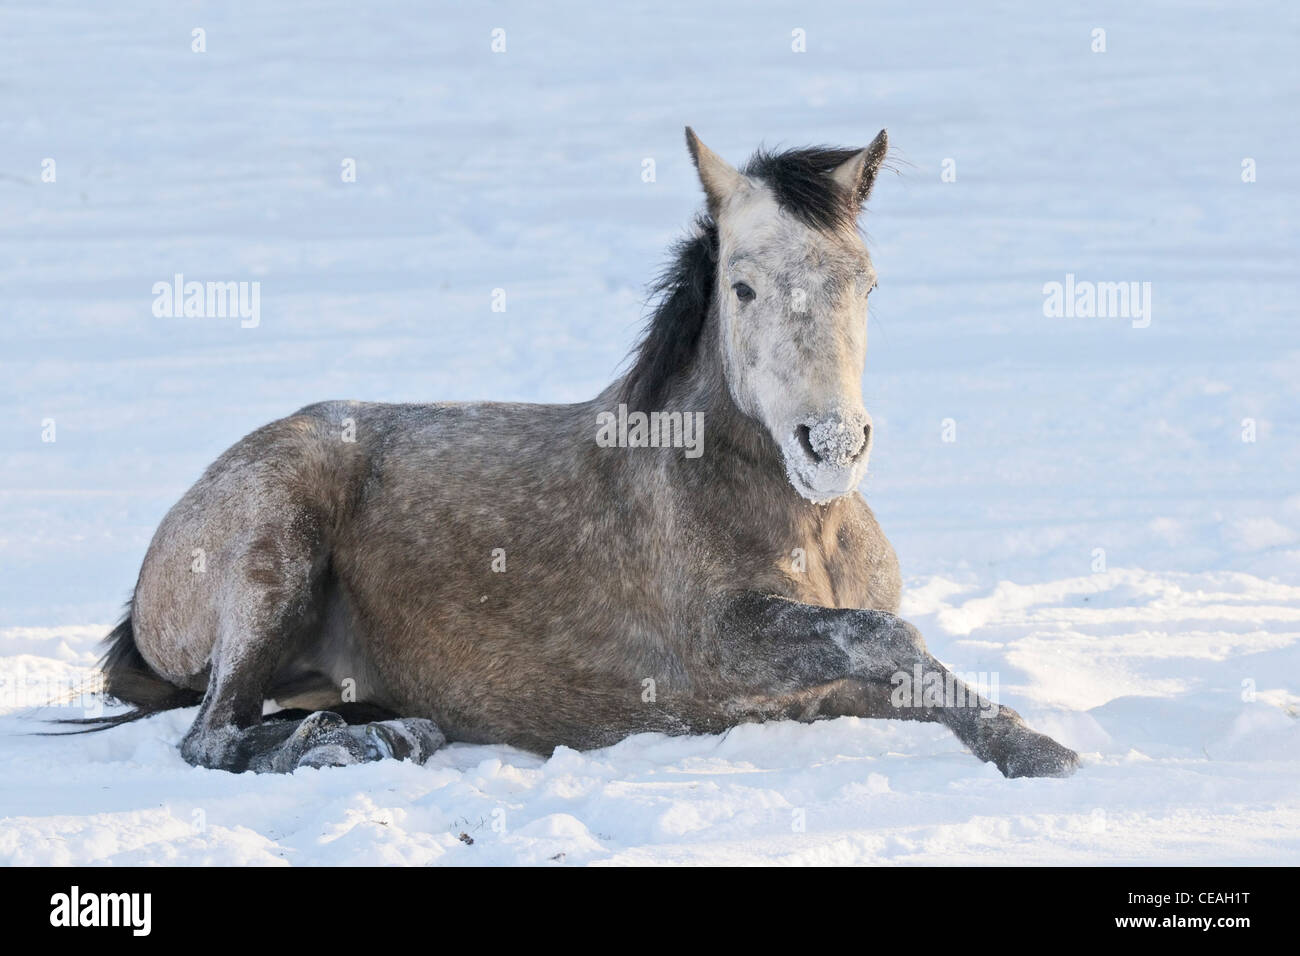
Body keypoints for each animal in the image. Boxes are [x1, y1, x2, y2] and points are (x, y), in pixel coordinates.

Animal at [76, 128, 1079, 778]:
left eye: (866, 283)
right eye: (743, 287)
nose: (830, 445)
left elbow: (902, 657)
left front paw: (1028, 740)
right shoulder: (721, 651)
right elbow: (883, 635)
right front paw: (1041, 752)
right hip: (272, 554)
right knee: (212, 735)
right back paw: (375, 742)